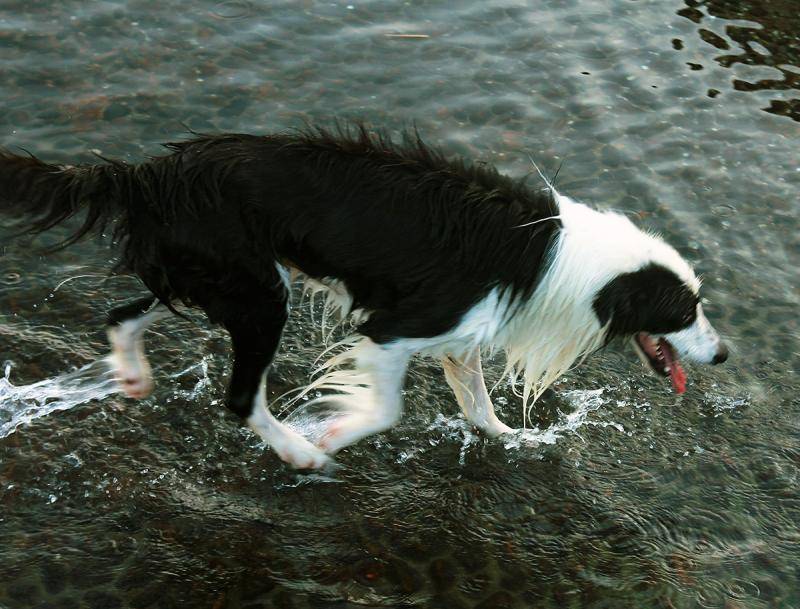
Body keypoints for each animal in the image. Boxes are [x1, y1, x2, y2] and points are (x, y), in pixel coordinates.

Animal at [0, 122, 724, 466]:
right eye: (683, 310)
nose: (721, 355)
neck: (555, 258)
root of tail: (148, 170)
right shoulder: (396, 326)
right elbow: (386, 410)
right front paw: (330, 432)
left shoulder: (461, 336)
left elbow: (480, 407)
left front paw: (514, 441)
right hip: (260, 295)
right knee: (240, 397)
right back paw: (295, 452)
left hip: (222, 274)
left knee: (123, 313)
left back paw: (130, 373)